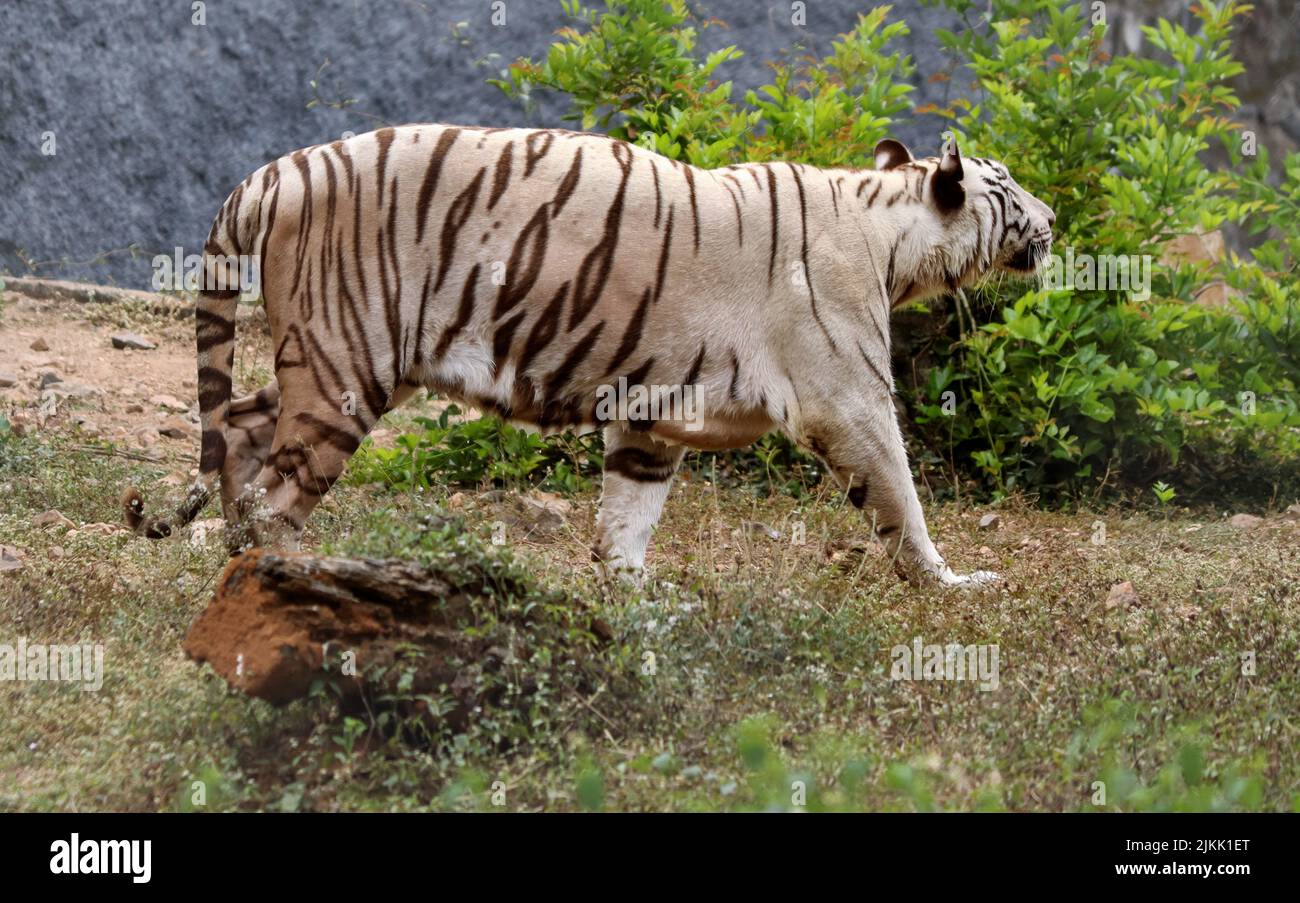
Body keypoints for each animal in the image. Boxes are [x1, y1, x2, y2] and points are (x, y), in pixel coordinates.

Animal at [122, 124, 1054, 588]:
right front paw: (949, 581)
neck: (889, 231)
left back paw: (231, 544)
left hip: (331, 361)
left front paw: (631, 595)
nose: (1052, 220)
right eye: (1010, 188)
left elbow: (628, 515)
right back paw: (279, 569)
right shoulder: (848, 399)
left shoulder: (656, 412)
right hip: (345, 363)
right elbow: (901, 497)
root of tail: (278, 170)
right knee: (278, 492)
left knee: (244, 424)